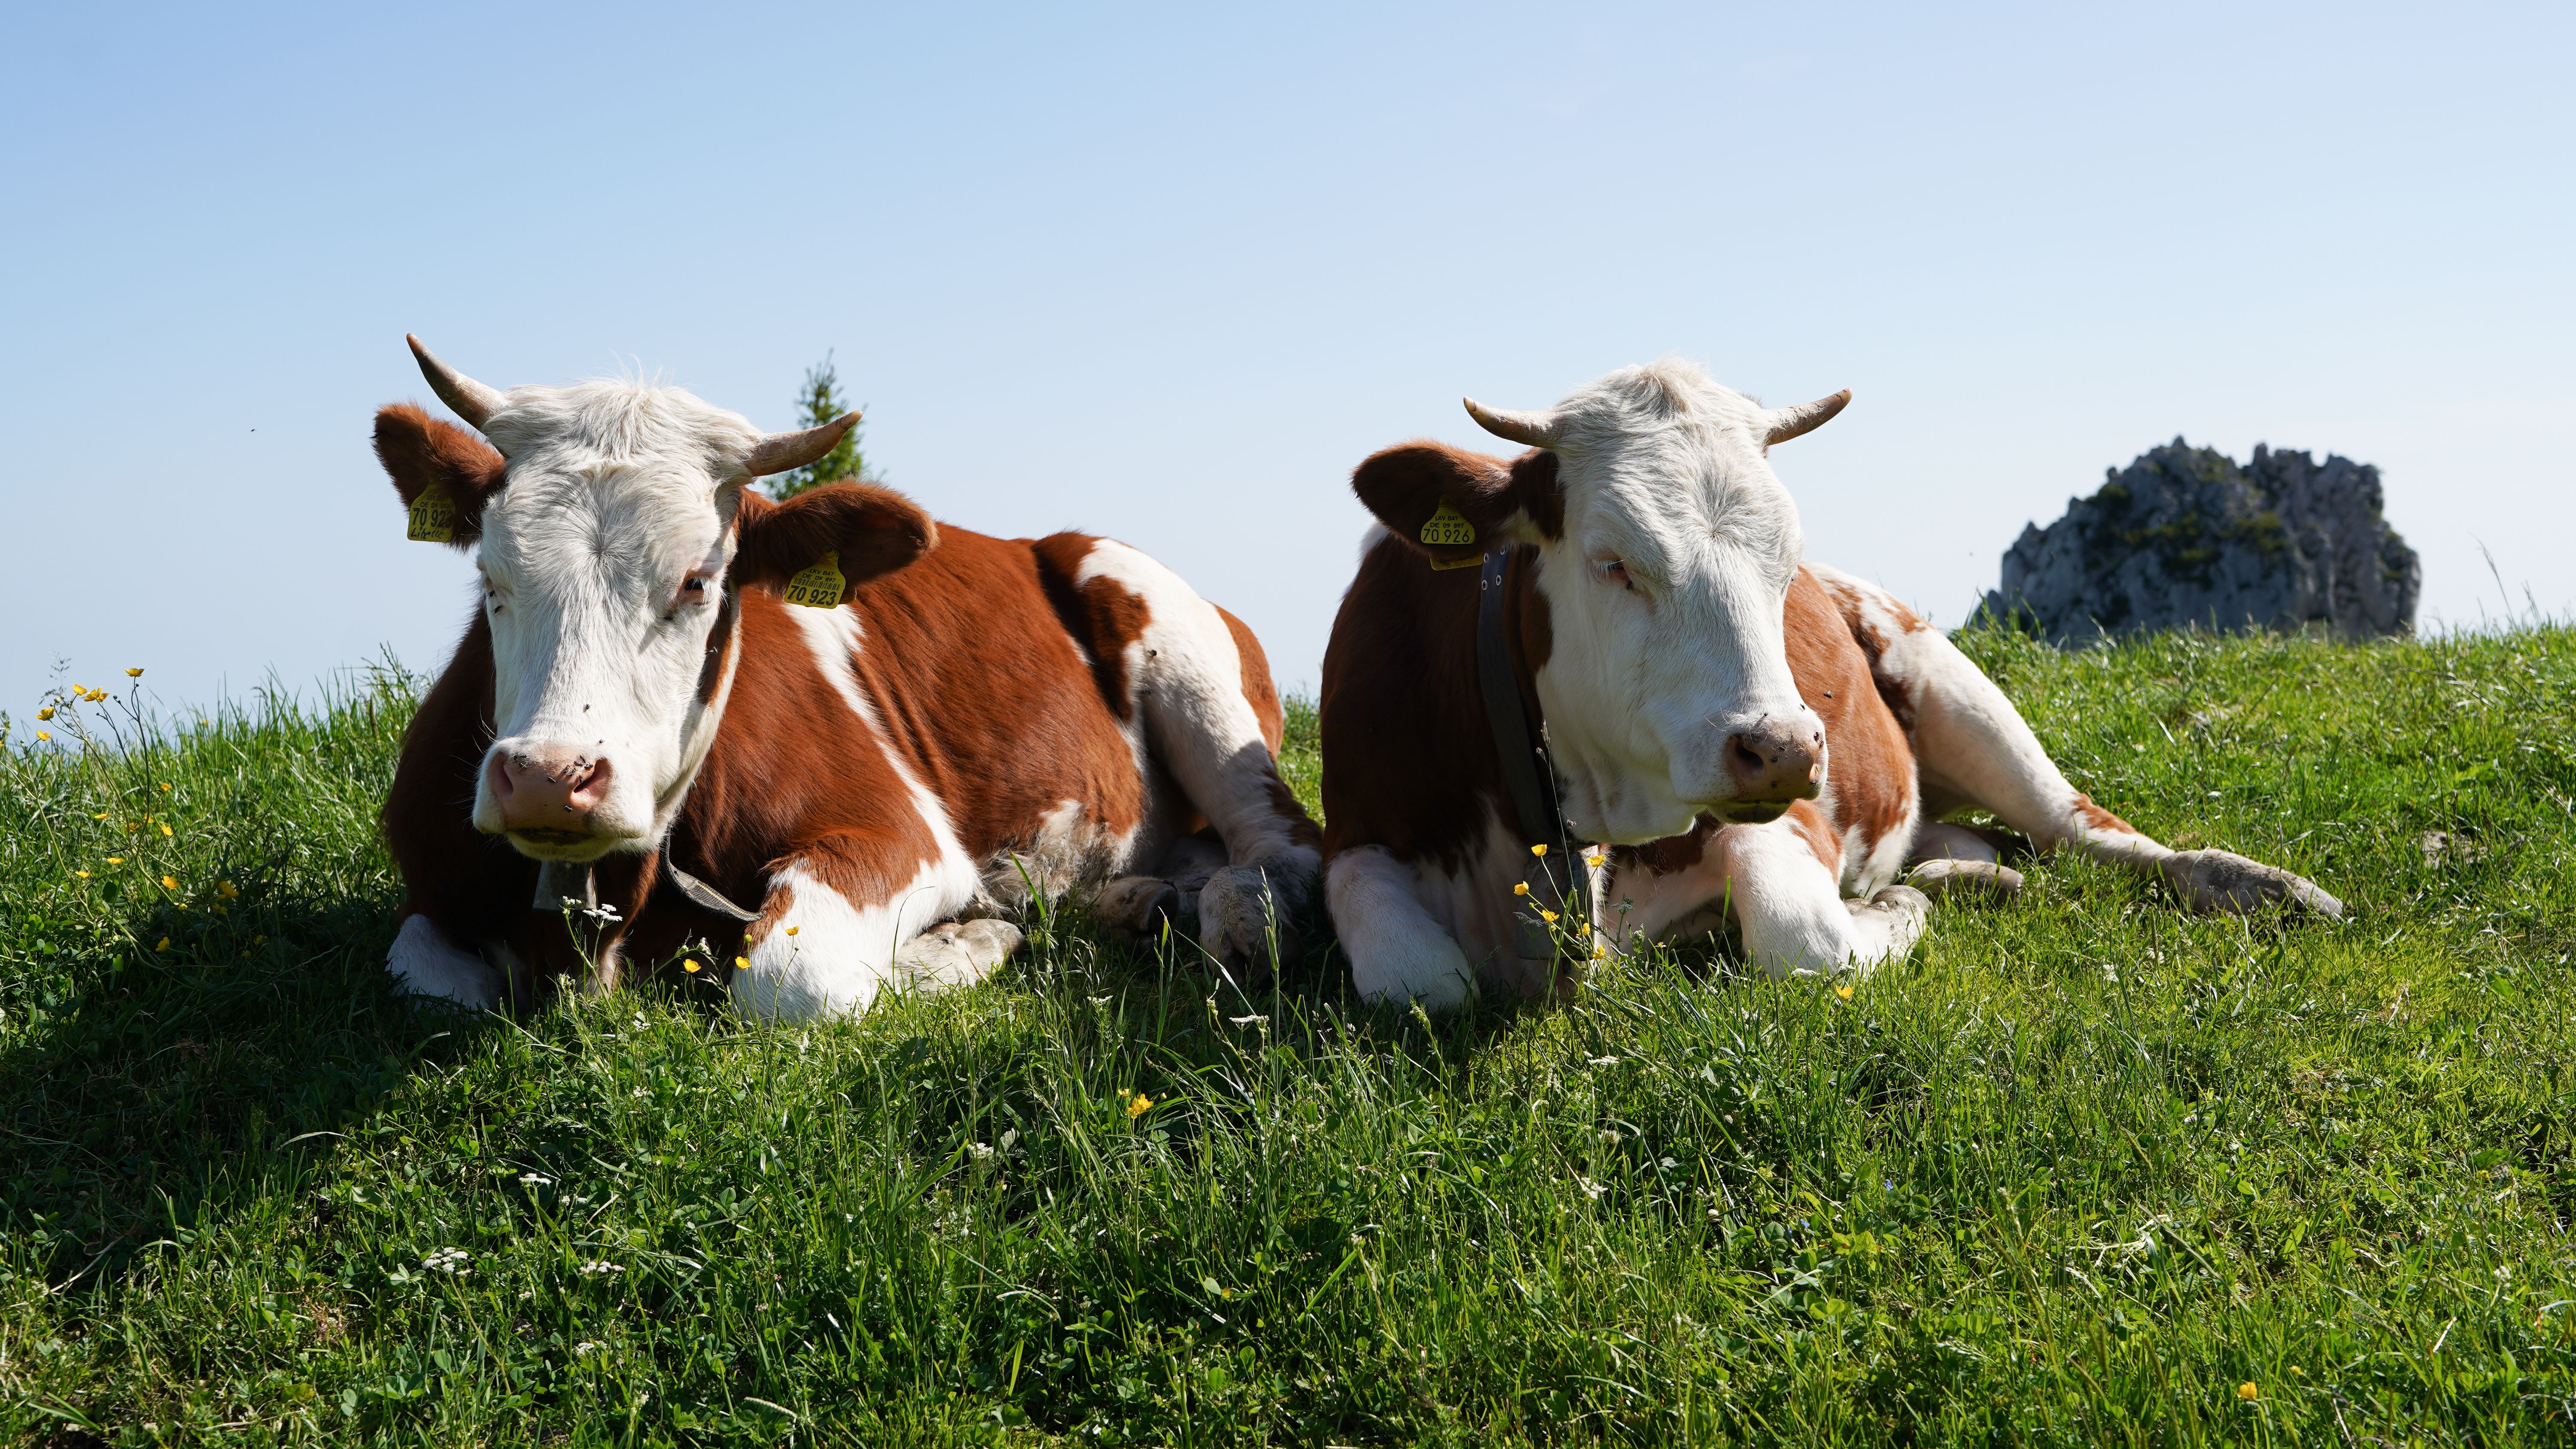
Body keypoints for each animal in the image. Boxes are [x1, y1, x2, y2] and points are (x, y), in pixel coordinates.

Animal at [373, 337, 1319, 1020]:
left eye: (698, 583)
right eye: (492, 577)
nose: (546, 778)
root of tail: (1048, 539)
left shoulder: (899, 830)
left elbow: (787, 980)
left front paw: (969, 943)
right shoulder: (432, 886)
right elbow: (424, 978)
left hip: (1196, 679)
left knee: (1284, 843)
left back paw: (1246, 917)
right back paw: (1141, 900)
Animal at [1318, 359, 2340, 1010]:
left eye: (1785, 562)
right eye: (1613, 563)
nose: (1781, 746)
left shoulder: (1789, 819)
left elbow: (1804, 942)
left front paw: (1893, 909)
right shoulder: (1356, 834)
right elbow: (1421, 982)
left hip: (1954, 685)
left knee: (2088, 832)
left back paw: (2267, 887)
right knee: (1984, 844)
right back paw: (1973, 872)